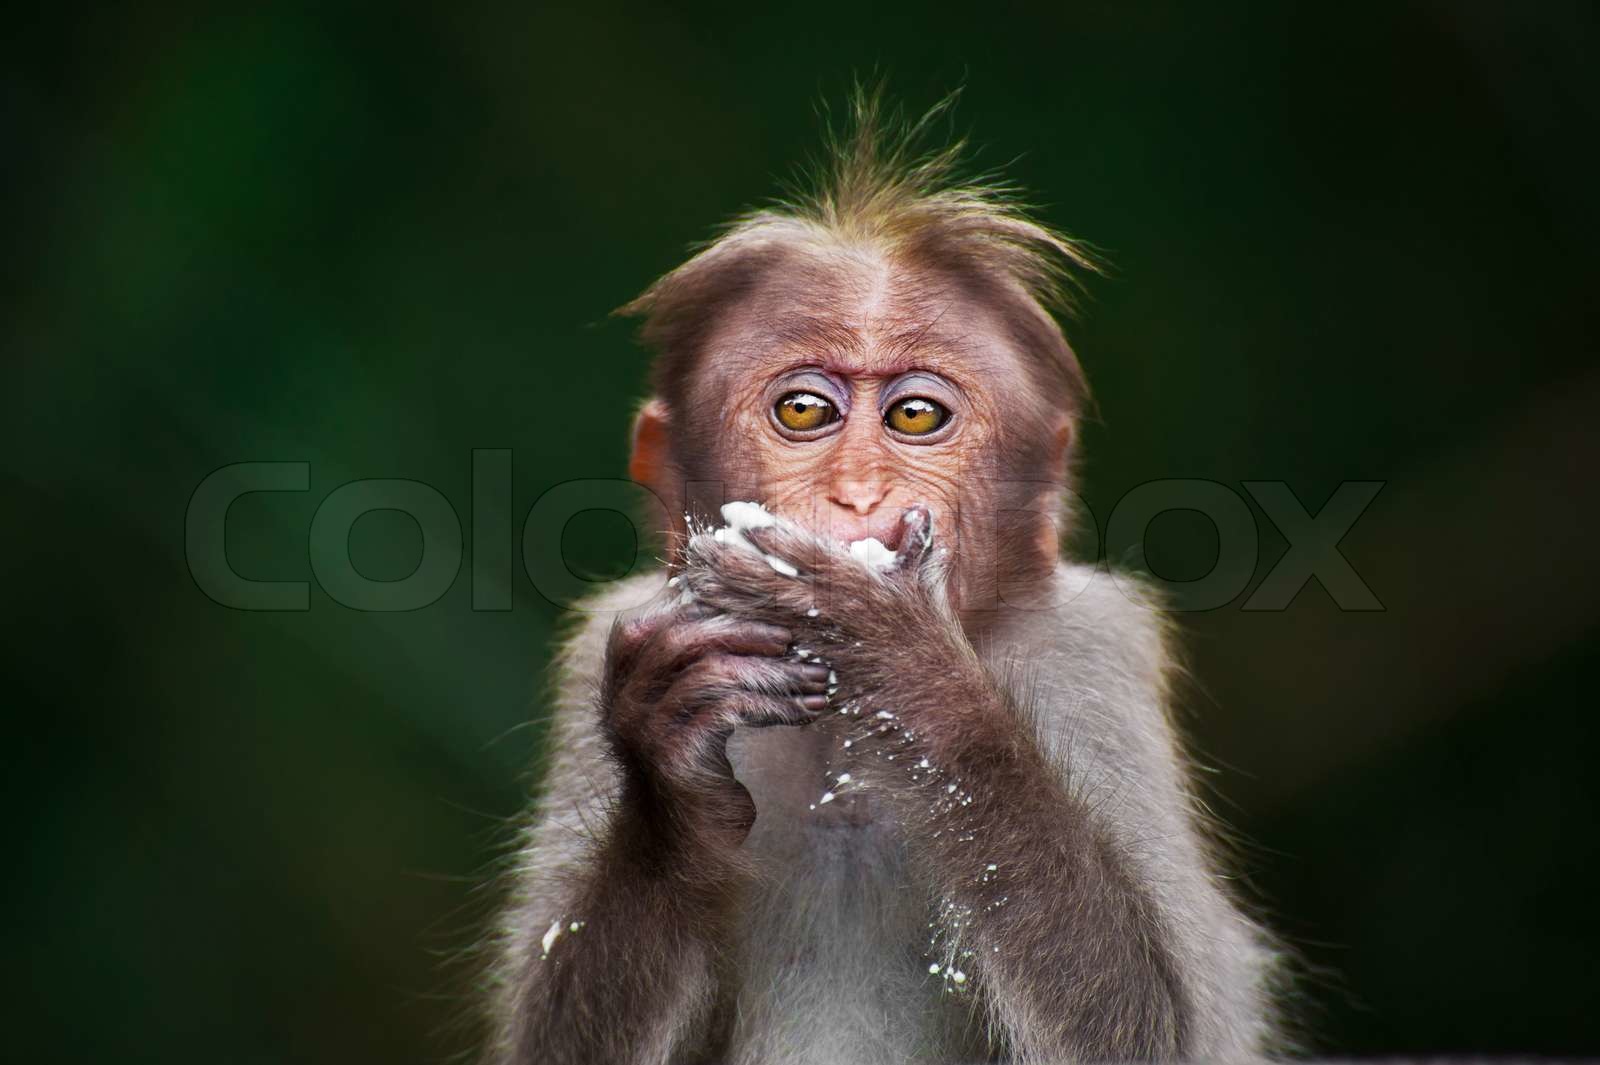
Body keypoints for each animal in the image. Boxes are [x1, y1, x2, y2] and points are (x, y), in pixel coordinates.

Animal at [483, 93, 1285, 1065]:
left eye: (914, 416)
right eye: (803, 412)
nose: (858, 489)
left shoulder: (1092, 653)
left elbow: (1162, 1020)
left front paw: (905, 661)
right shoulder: (603, 646)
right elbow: (546, 1038)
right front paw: (669, 768)